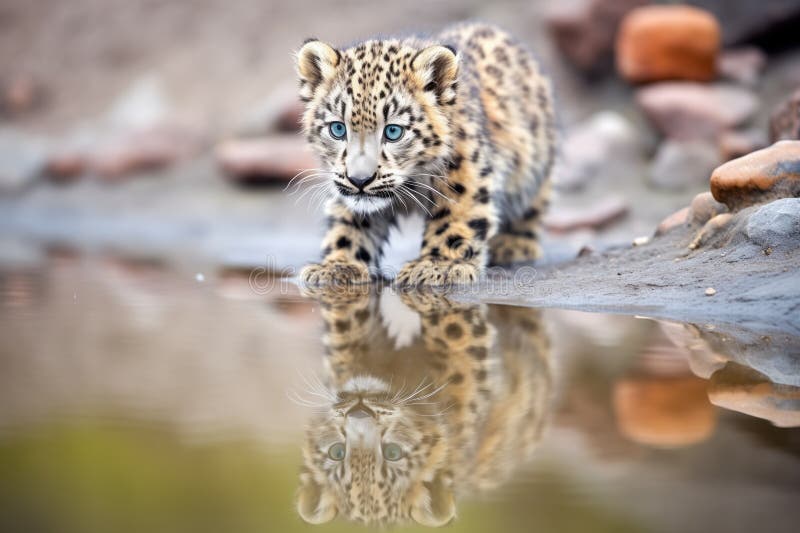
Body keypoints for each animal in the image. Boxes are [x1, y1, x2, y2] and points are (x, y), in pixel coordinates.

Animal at [294, 22, 556, 286]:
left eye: (393, 131)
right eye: (338, 129)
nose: (360, 180)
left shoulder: (463, 173)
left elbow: (454, 217)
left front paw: (438, 265)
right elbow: (348, 223)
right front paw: (337, 265)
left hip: (535, 170)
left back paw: (513, 244)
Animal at [294, 285, 552, 527]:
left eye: (393, 452)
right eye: (337, 452)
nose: (358, 411)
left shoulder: (463, 360)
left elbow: (449, 325)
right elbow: (347, 323)